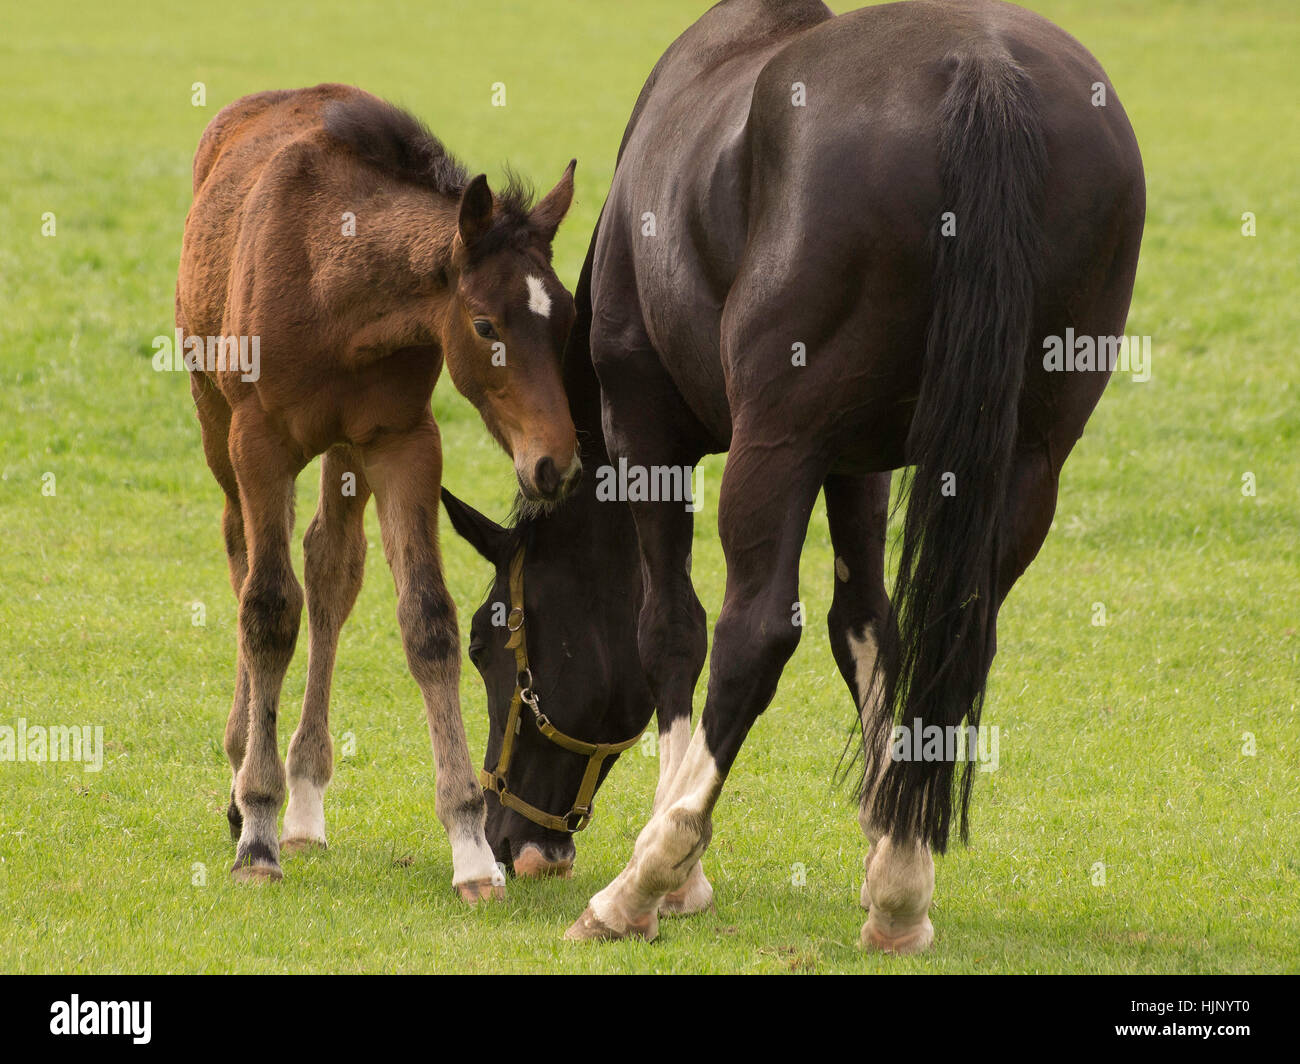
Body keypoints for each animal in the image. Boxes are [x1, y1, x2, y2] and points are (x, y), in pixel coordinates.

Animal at [177, 83, 581, 900]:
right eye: (484, 324)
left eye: (568, 320)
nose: (555, 463)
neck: (332, 282)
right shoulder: (258, 442)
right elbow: (268, 612)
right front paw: (256, 830)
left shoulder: (403, 443)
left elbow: (427, 621)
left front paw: (470, 848)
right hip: (216, 424)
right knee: (245, 561)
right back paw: (244, 776)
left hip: (345, 452)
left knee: (331, 567)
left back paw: (305, 798)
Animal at [443, 0, 1145, 947]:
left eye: (488, 642)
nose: (509, 835)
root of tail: (983, 70)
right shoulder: (858, 466)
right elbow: (869, 628)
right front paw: (892, 853)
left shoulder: (647, 432)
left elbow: (671, 628)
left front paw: (679, 870)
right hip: (1026, 459)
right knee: (959, 632)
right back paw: (900, 891)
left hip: (775, 444)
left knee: (756, 634)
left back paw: (637, 885)